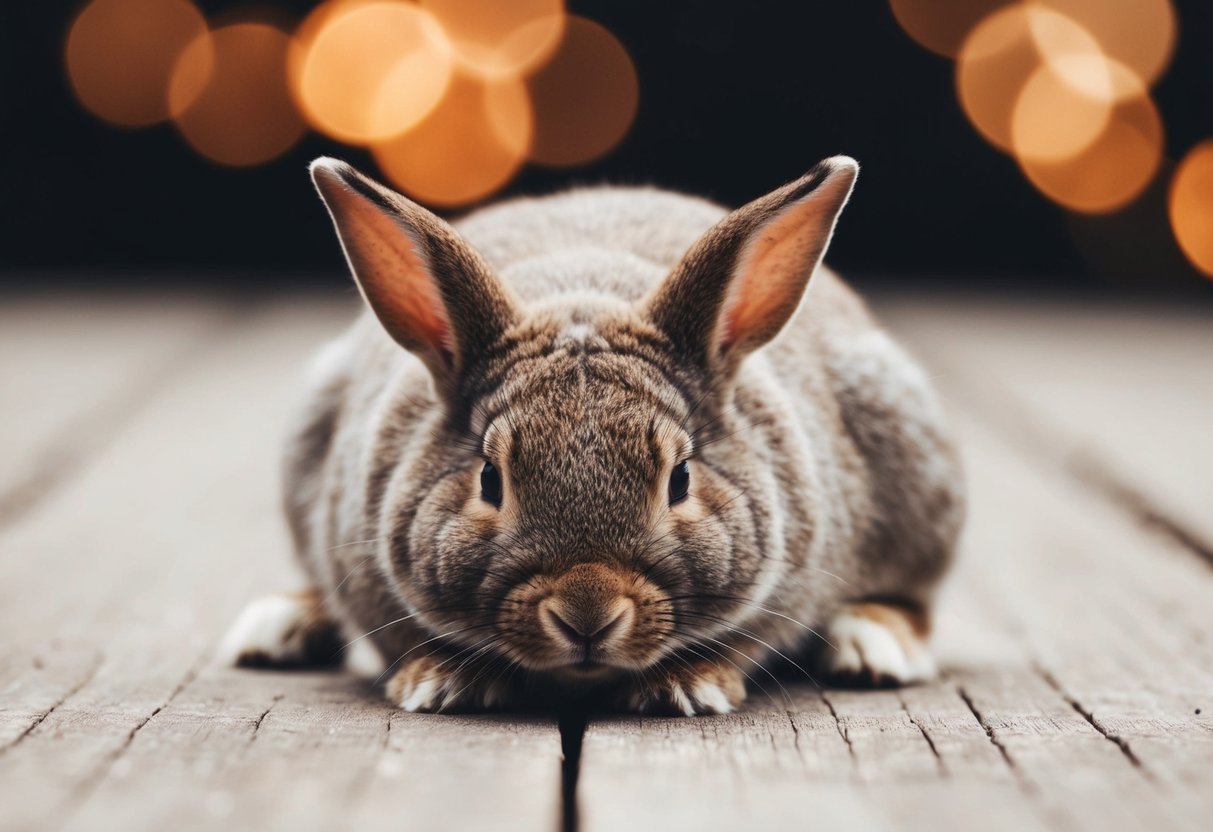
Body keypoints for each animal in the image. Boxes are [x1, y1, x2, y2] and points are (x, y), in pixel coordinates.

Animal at [219, 155, 964, 715]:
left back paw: (873, 648)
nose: (586, 614)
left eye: (680, 479)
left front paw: (686, 688)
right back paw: (276, 628)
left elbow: (745, 641)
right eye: (489, 479)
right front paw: (440, 681)